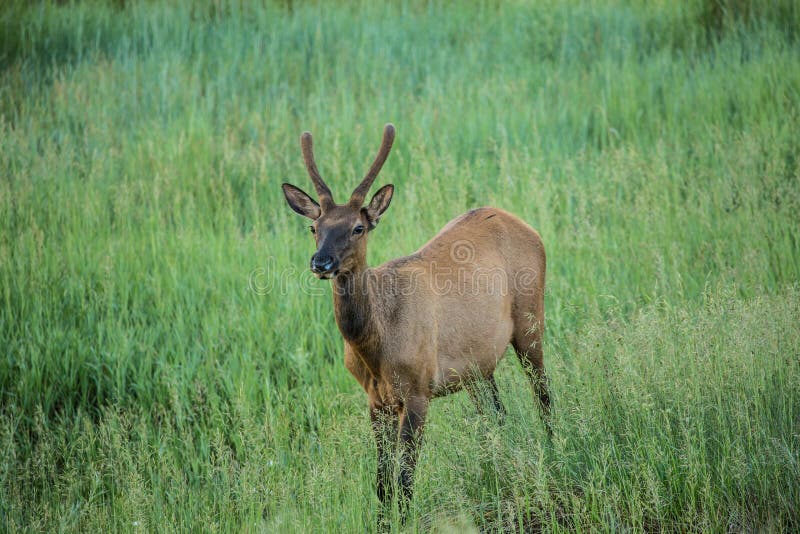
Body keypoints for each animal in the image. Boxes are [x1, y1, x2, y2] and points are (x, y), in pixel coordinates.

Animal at [281, 124, 551, 521]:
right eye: (314, 227)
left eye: (358, 227)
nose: (321, 262)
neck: (376, 350)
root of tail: (526, 225)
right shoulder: (375, 400)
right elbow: (381, 483)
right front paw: (381, 523)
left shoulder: (419, 389)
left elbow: (405, 480)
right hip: (478, 364)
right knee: (496, 415)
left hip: (531, 319)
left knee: (543, 394)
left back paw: (552, 450)